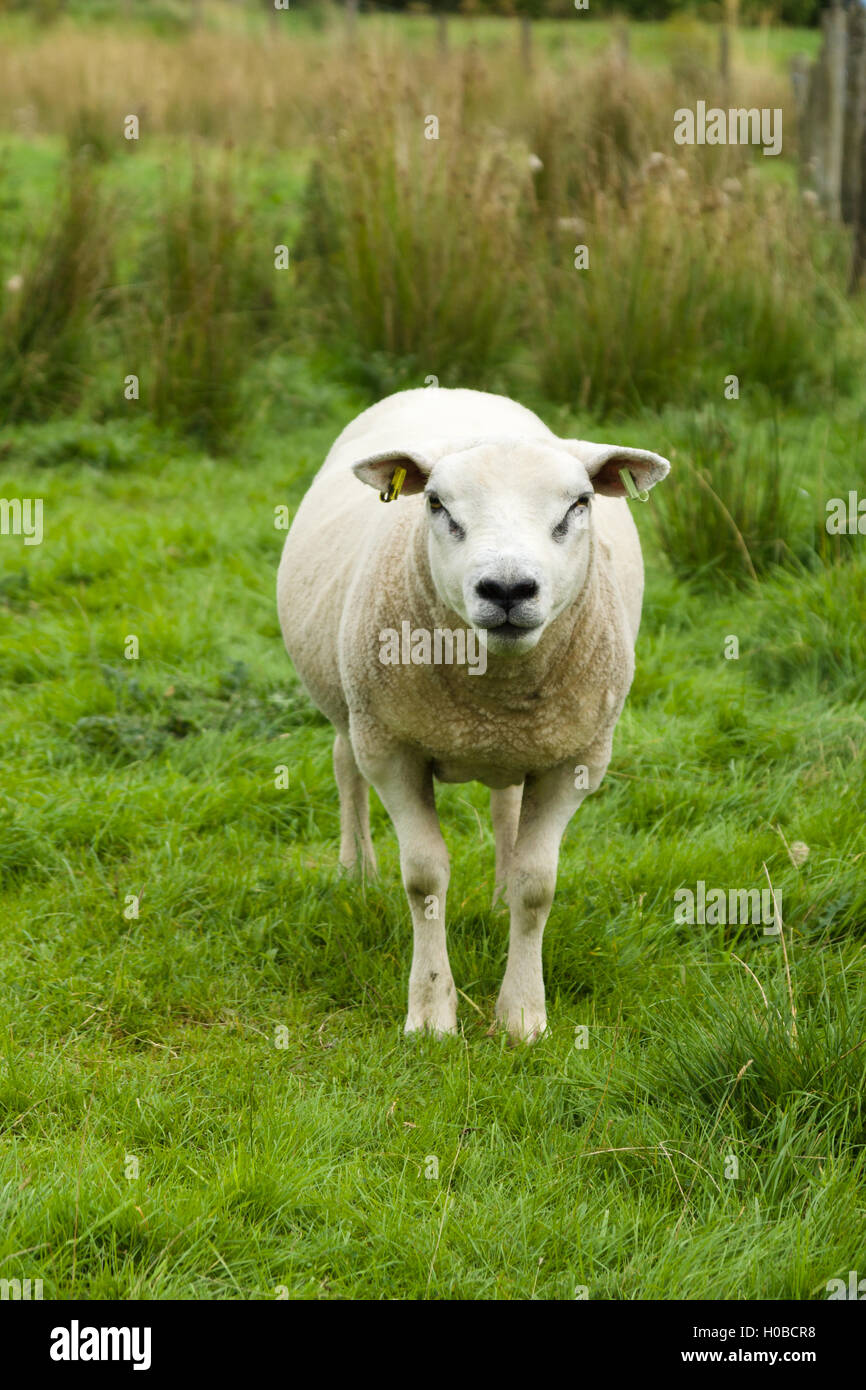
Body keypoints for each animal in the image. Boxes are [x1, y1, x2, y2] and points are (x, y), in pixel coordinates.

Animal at [277, 388, 670, 1041]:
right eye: (437, 504)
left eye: (580, 503)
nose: (507, 589)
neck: (495, 694)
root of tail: (448, 389)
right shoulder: (392, 750)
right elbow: (425, 879)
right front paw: (431, 1014)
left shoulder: (576, 761)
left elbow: (538, 887)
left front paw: (522, 1018)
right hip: (350, 703)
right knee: (344, 767)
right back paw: (357, 875)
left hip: (522, 744)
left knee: (505, 804)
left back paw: (499, 891)